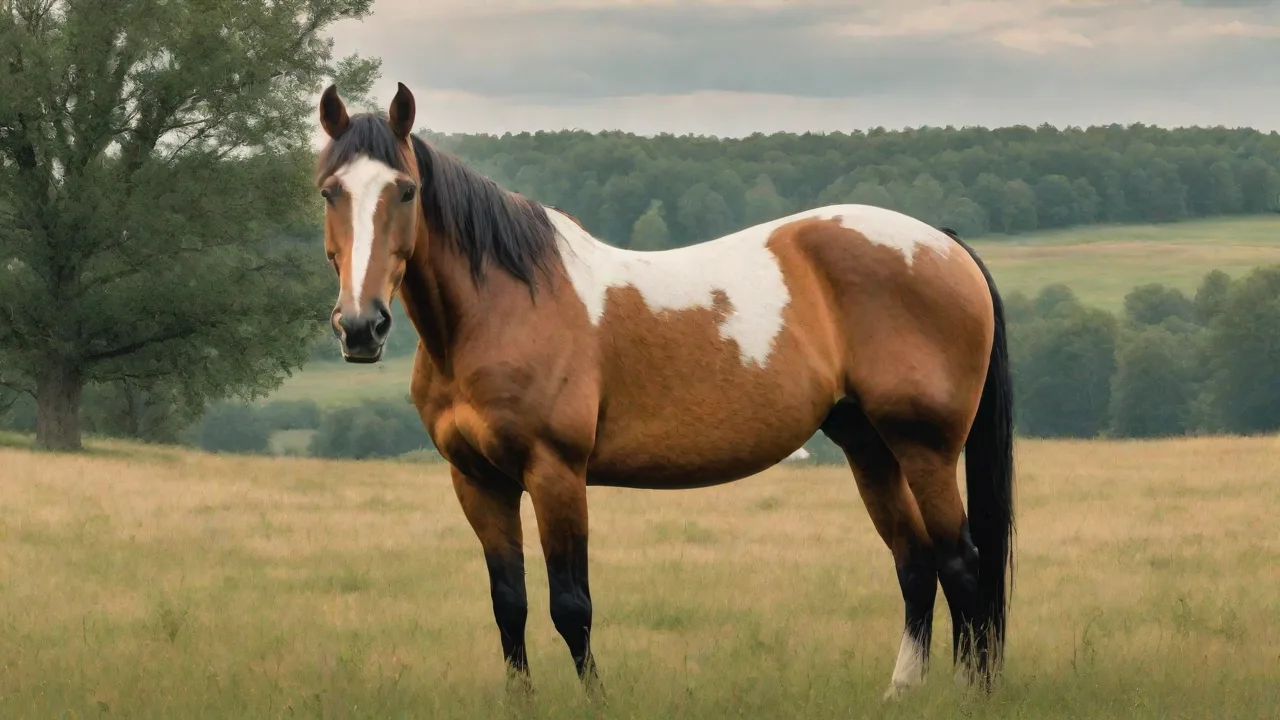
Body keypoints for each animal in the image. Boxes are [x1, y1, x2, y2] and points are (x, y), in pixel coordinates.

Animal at [313, 82, 1016, 700]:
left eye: (405, 191)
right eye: (329, 192)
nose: (361, 326)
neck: (504, 308)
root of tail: (942, 245)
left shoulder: (555, 472)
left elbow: (571, 604)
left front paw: (597, 699)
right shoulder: (477, 480)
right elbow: (508, 603)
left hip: (925, 449)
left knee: (961, 562)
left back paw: (970, 692)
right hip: (869, 447)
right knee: (915, 563)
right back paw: (902, 689)